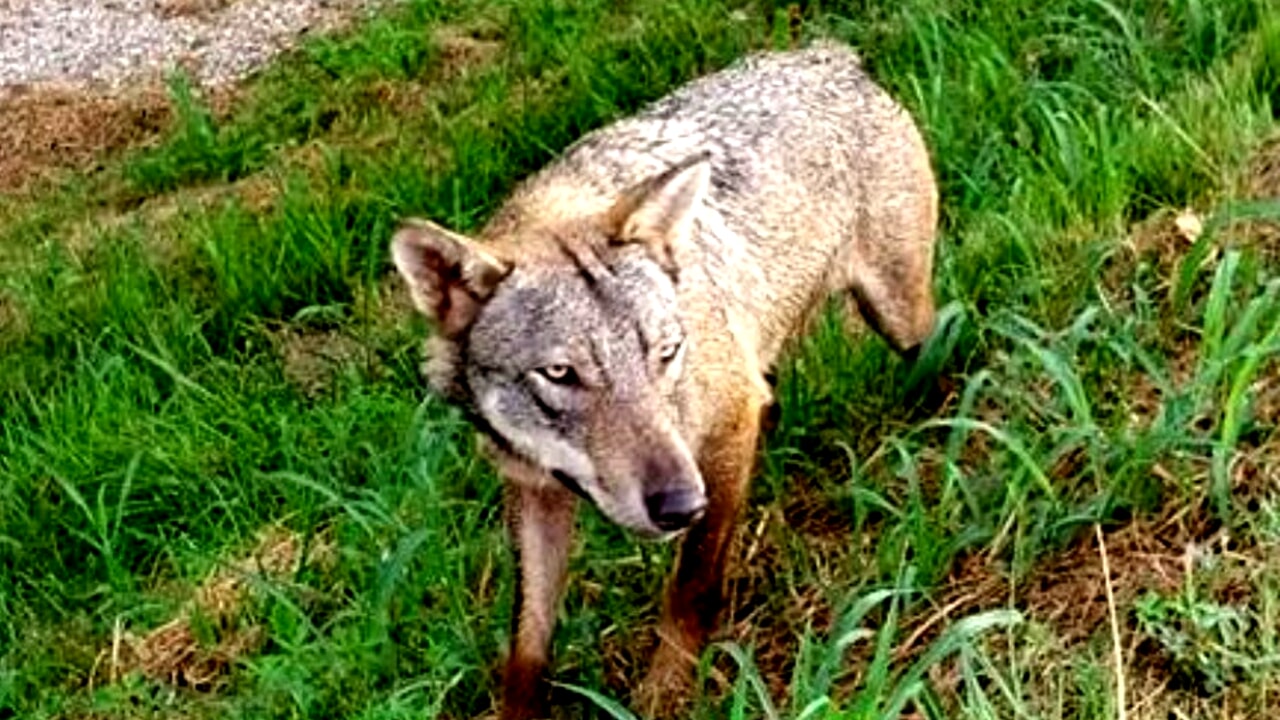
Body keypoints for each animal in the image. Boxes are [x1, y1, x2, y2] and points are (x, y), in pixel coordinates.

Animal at [390, 39, 938, 719]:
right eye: (560, 374)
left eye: (667, 352)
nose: (681, 504)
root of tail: (827, 56)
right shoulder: (534, 492)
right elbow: (526, 647)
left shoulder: (725, 431)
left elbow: (690, 584)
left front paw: (665, 692)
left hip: (899, 317)